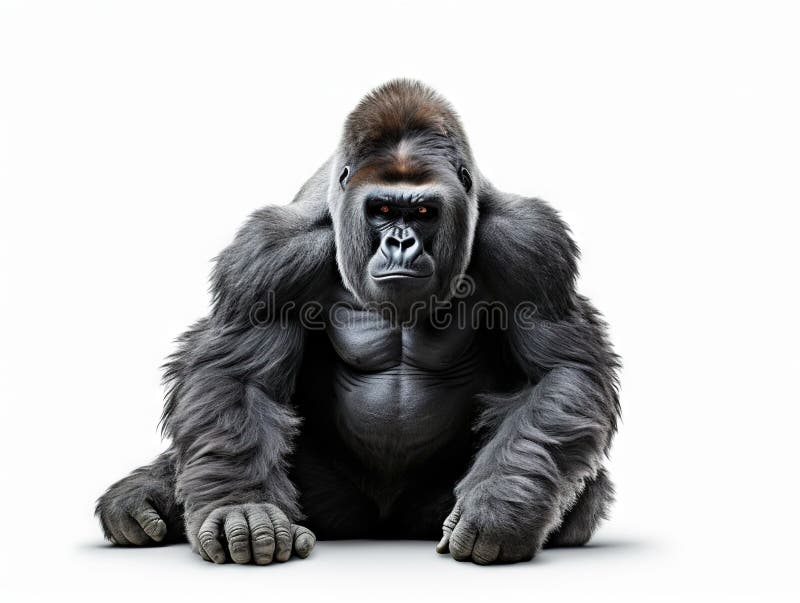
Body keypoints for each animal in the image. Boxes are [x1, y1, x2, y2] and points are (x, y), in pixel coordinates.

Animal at [96, 79, 620, 565]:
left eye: (424, 211)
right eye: (383, 209)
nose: (401, 243)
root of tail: (383, 524)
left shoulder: (532, 243)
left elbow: (556, 373)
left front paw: (502, 508)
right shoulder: (266, 252)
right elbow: (237, 379)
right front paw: (240, 507)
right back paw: (143, 502)